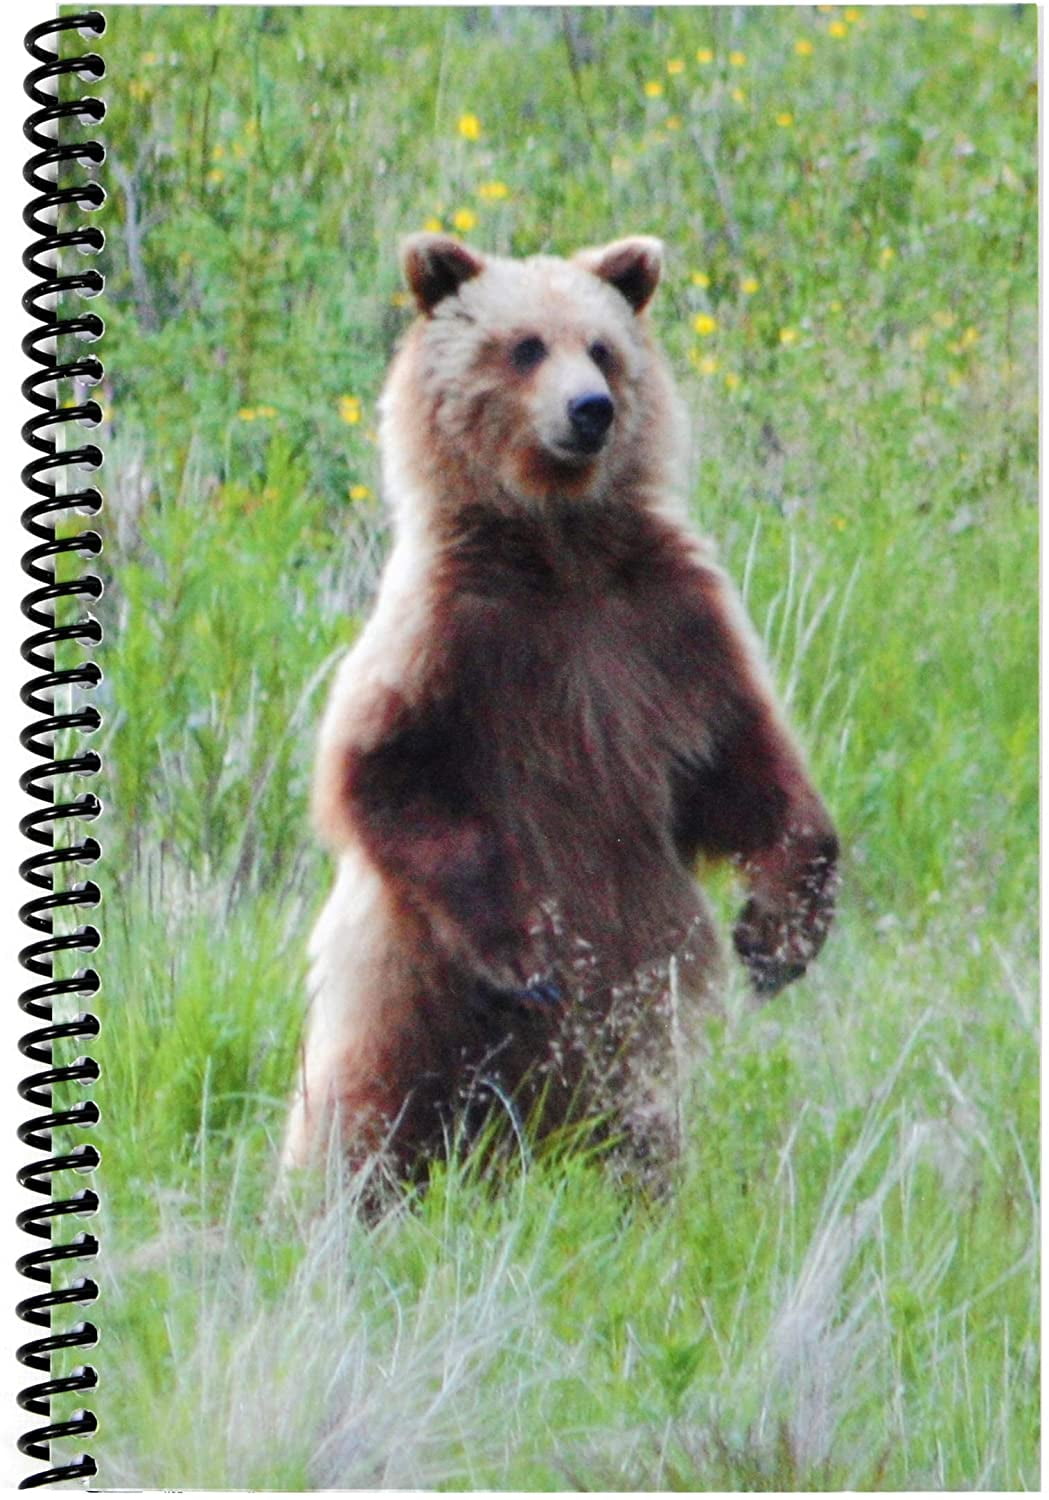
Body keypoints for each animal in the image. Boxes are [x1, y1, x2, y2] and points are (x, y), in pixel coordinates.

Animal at [281, 233, 838, 1183]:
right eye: (525, 346)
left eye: (602, 347)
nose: (591, 410)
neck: (559, 545)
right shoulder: (450, 635)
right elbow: (386, 773)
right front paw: (525, 955)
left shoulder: (665, 626)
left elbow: (741, 766)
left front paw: (777, 938)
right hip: (399, 1000)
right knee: (359, 1119)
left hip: (626, 1033)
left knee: (635, 1127)